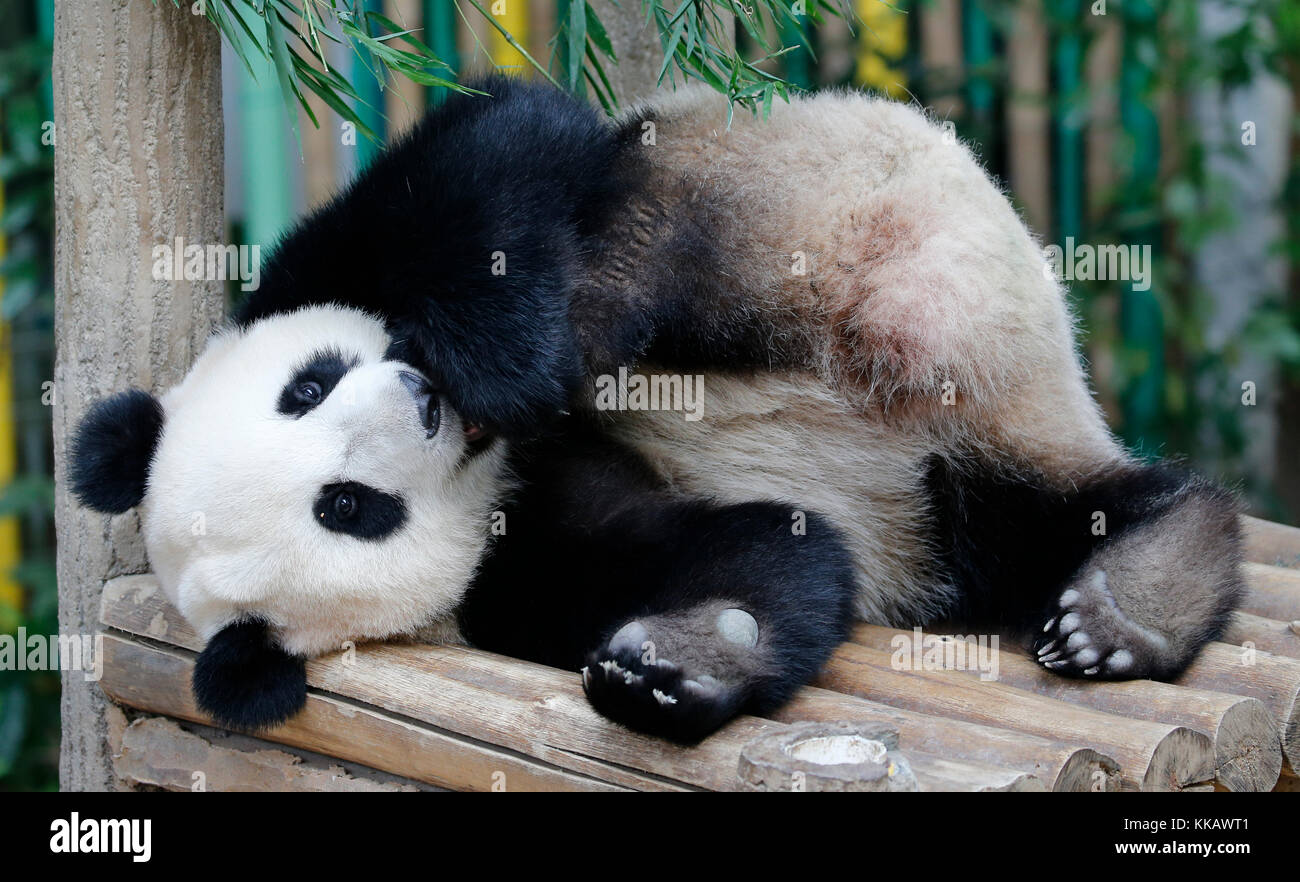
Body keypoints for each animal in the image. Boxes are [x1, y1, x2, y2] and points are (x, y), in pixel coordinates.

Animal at [69, 76, 1244, 743]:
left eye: (304, 387)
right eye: (348, 508)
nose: (423, 398)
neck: (503, 464)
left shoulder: (337, 260)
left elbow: (493, 148)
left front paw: (502, 355)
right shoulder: (524, 566)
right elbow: (769, 554)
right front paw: (673, 667)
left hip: (813, 207)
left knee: (647, 240)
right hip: (947, 489)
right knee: (1032, 517)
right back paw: (1129, 599)